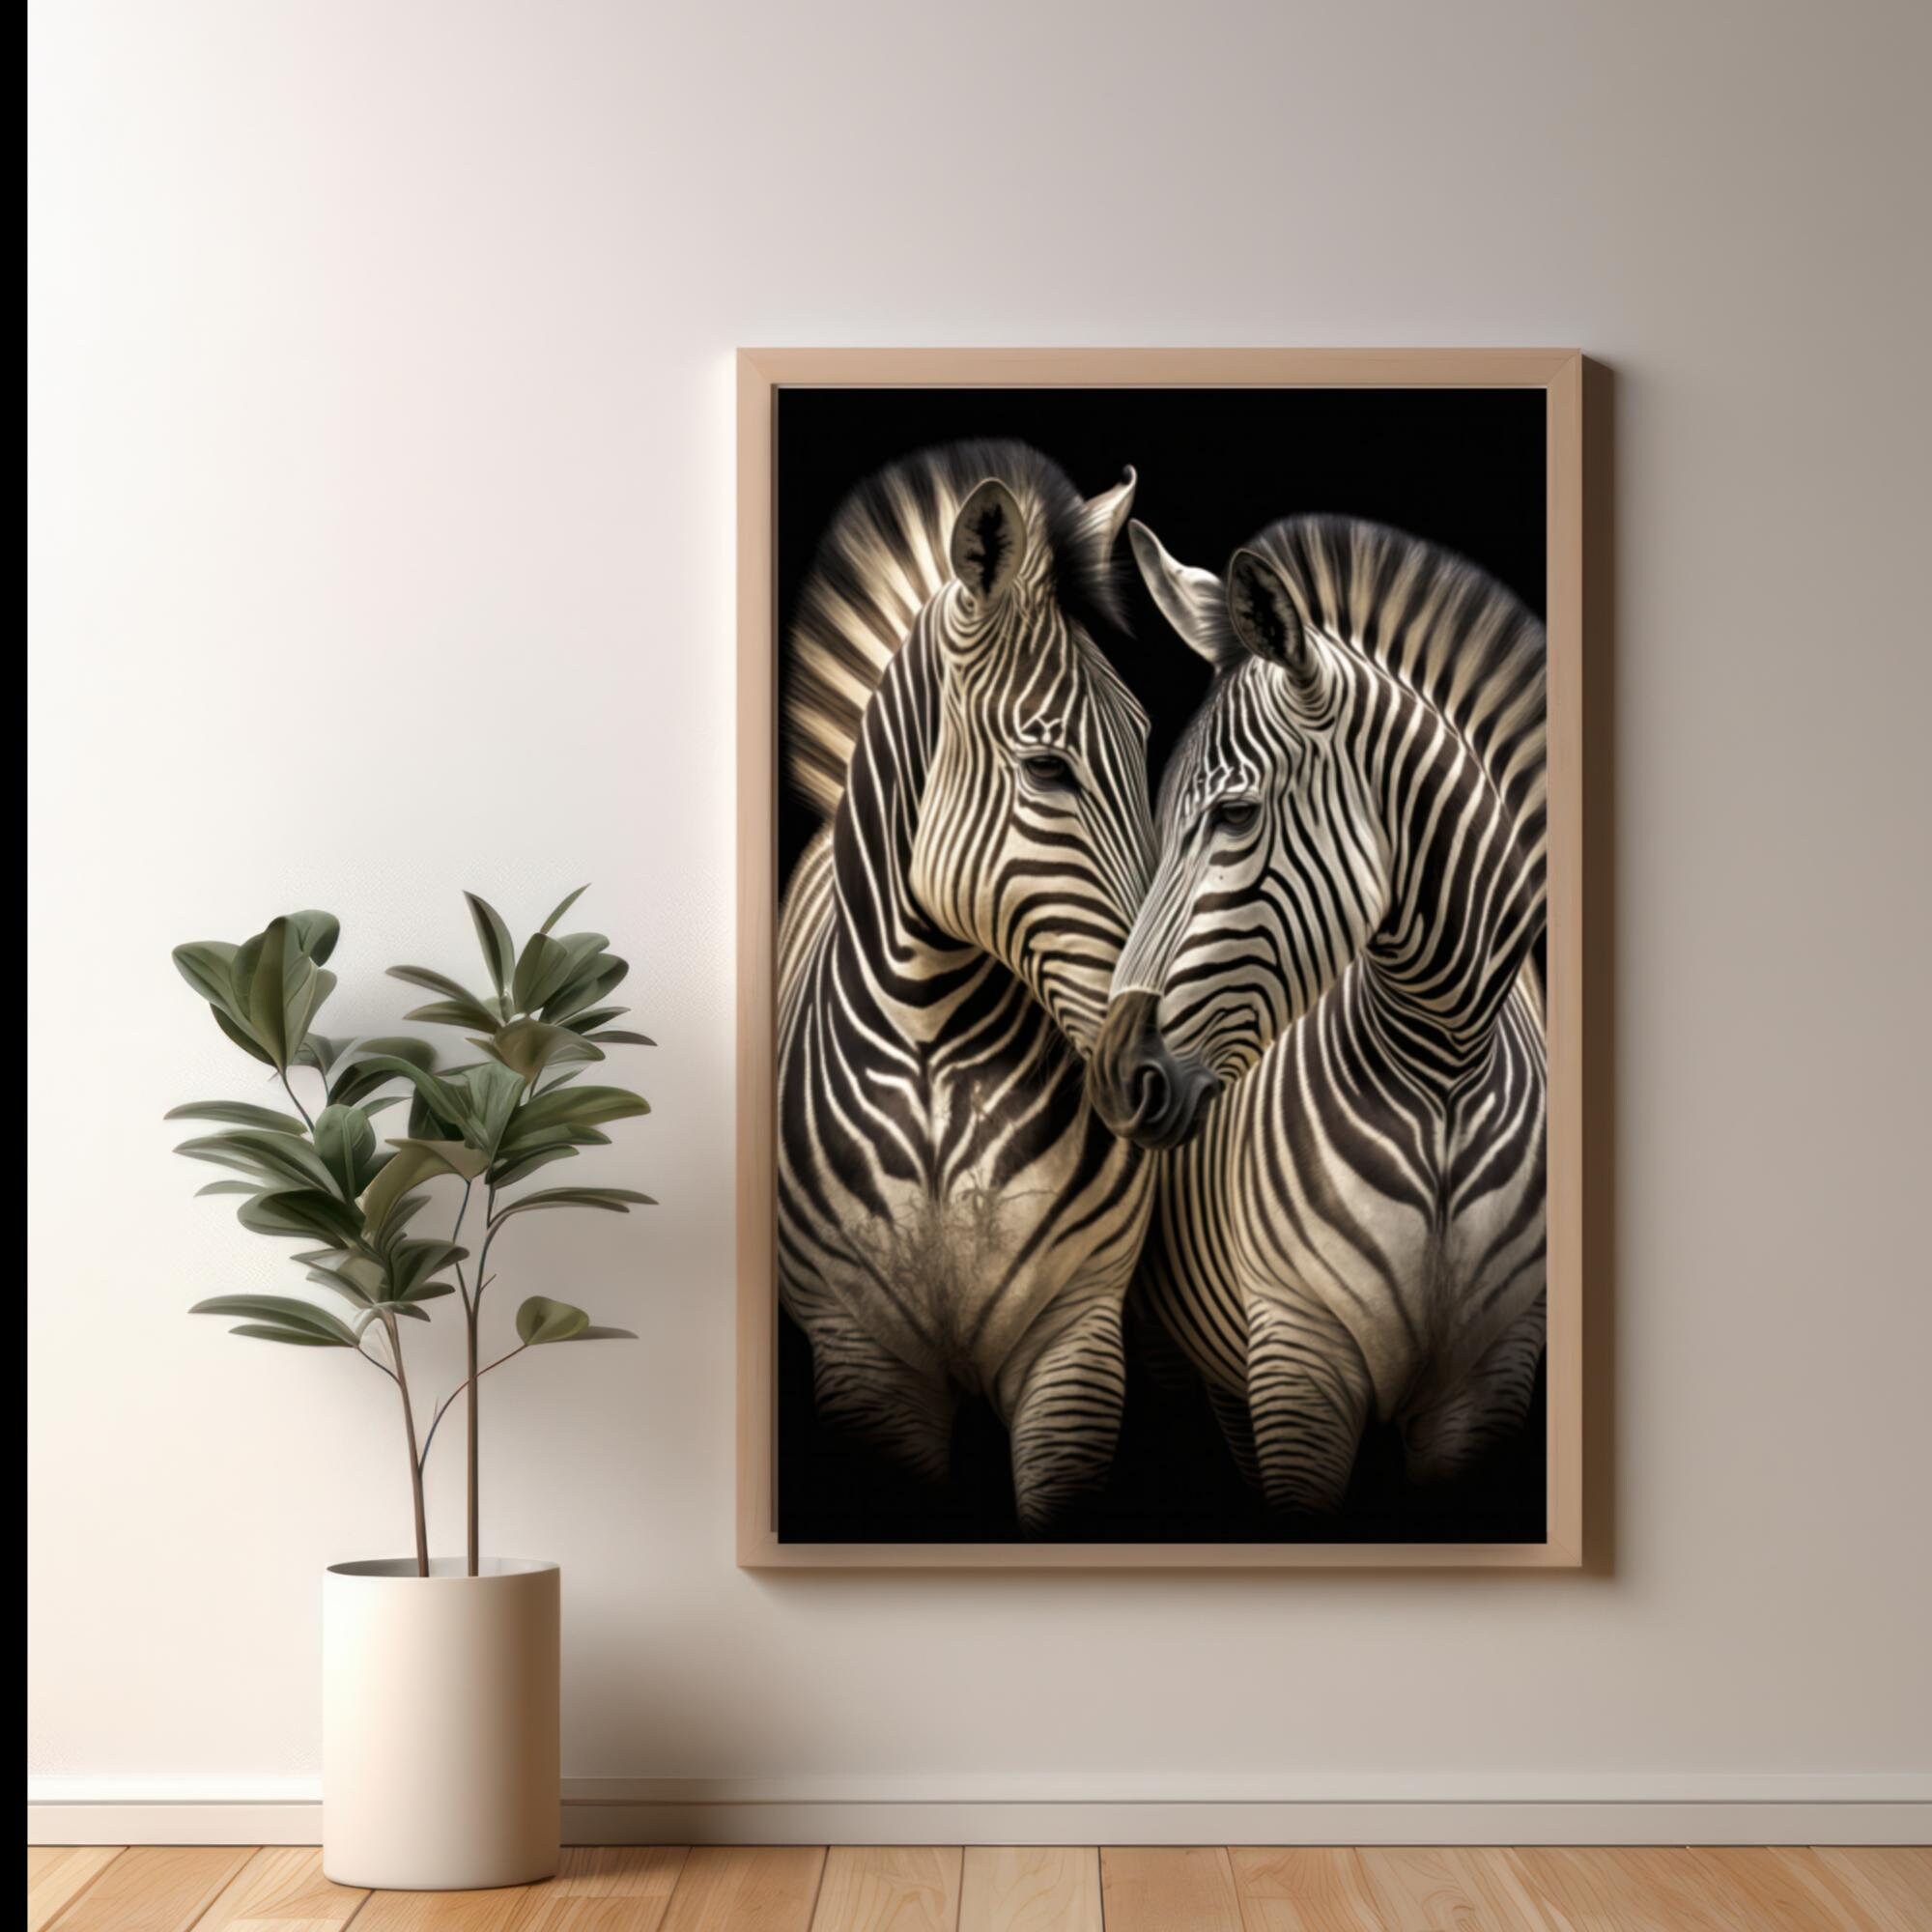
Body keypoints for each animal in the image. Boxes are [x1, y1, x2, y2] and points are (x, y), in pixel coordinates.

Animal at [778, 440, 1157, 1534]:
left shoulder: (1078, 1338)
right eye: (1047, 766)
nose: (1163, 1069)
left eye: (1147, 739)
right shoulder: (861, 1357)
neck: (934, 1036)